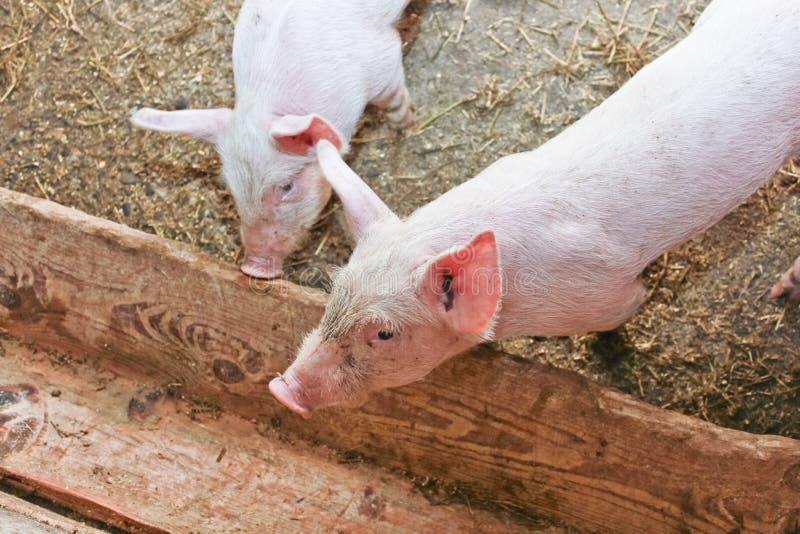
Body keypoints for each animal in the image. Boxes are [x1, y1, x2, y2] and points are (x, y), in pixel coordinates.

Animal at [131, 0, 414, 279]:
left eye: (286, 186)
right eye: (230, 186)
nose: (253, 266)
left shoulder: (384, 60)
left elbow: (393, 97)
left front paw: (404, 125)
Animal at [269, 0, 800, 418]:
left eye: (384, 335)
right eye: (333, 294)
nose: (281, 387)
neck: (514, 296)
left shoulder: (607, 295)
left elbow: (624, 312)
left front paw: (606, 350)